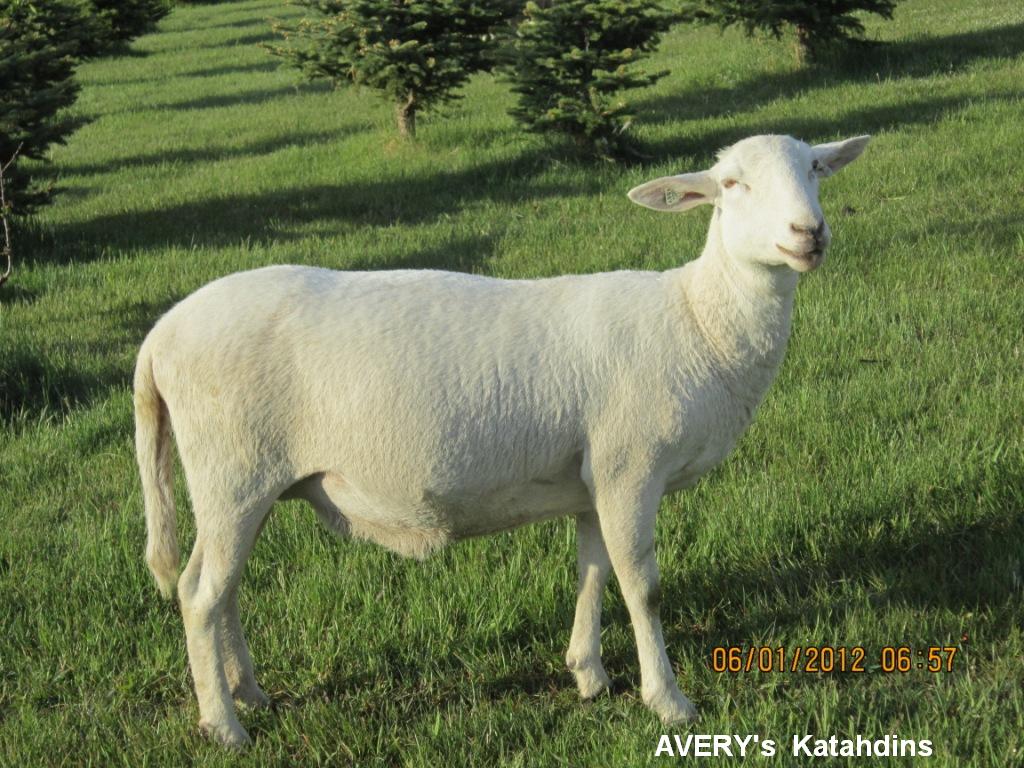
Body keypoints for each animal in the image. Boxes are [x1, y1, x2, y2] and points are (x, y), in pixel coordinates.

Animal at [135, 133, 870, 747]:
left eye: (814, 167)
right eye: (732, 184)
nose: (810, 233)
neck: (697, 320)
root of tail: (160, 337)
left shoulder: (593, 476)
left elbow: (593, 571)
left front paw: (589, 674)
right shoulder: (631, 467)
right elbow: (643, 587)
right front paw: (669, 701)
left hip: (245, 482)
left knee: (223, 589)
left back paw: (249, 694)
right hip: (232, 470)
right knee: (200, 593)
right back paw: (225, 726)